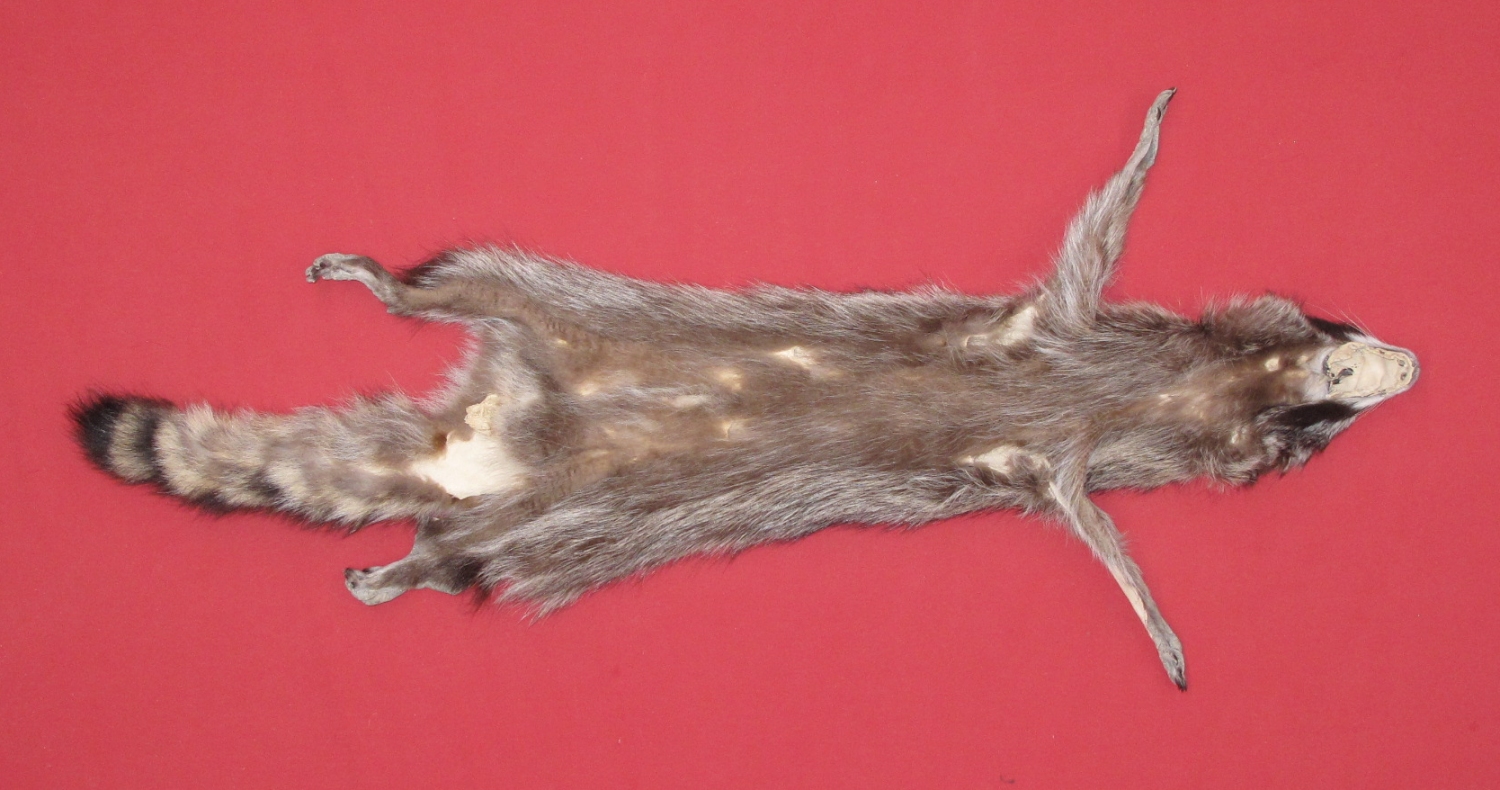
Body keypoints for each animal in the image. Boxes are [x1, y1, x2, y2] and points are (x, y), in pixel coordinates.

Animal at [72, 90, 1417, 689]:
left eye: (1339, 386)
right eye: (1340, 351)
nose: (1413, 362)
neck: (1193, 384)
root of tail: (482, 442)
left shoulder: (1072, 441)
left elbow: (1096, 520)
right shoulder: (1062, 333)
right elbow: (1100, 242)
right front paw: (1145, 146)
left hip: (551, 517)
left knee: (466, 548)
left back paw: (418, 556)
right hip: (546, 313)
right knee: (455, 287)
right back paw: (389, 295)